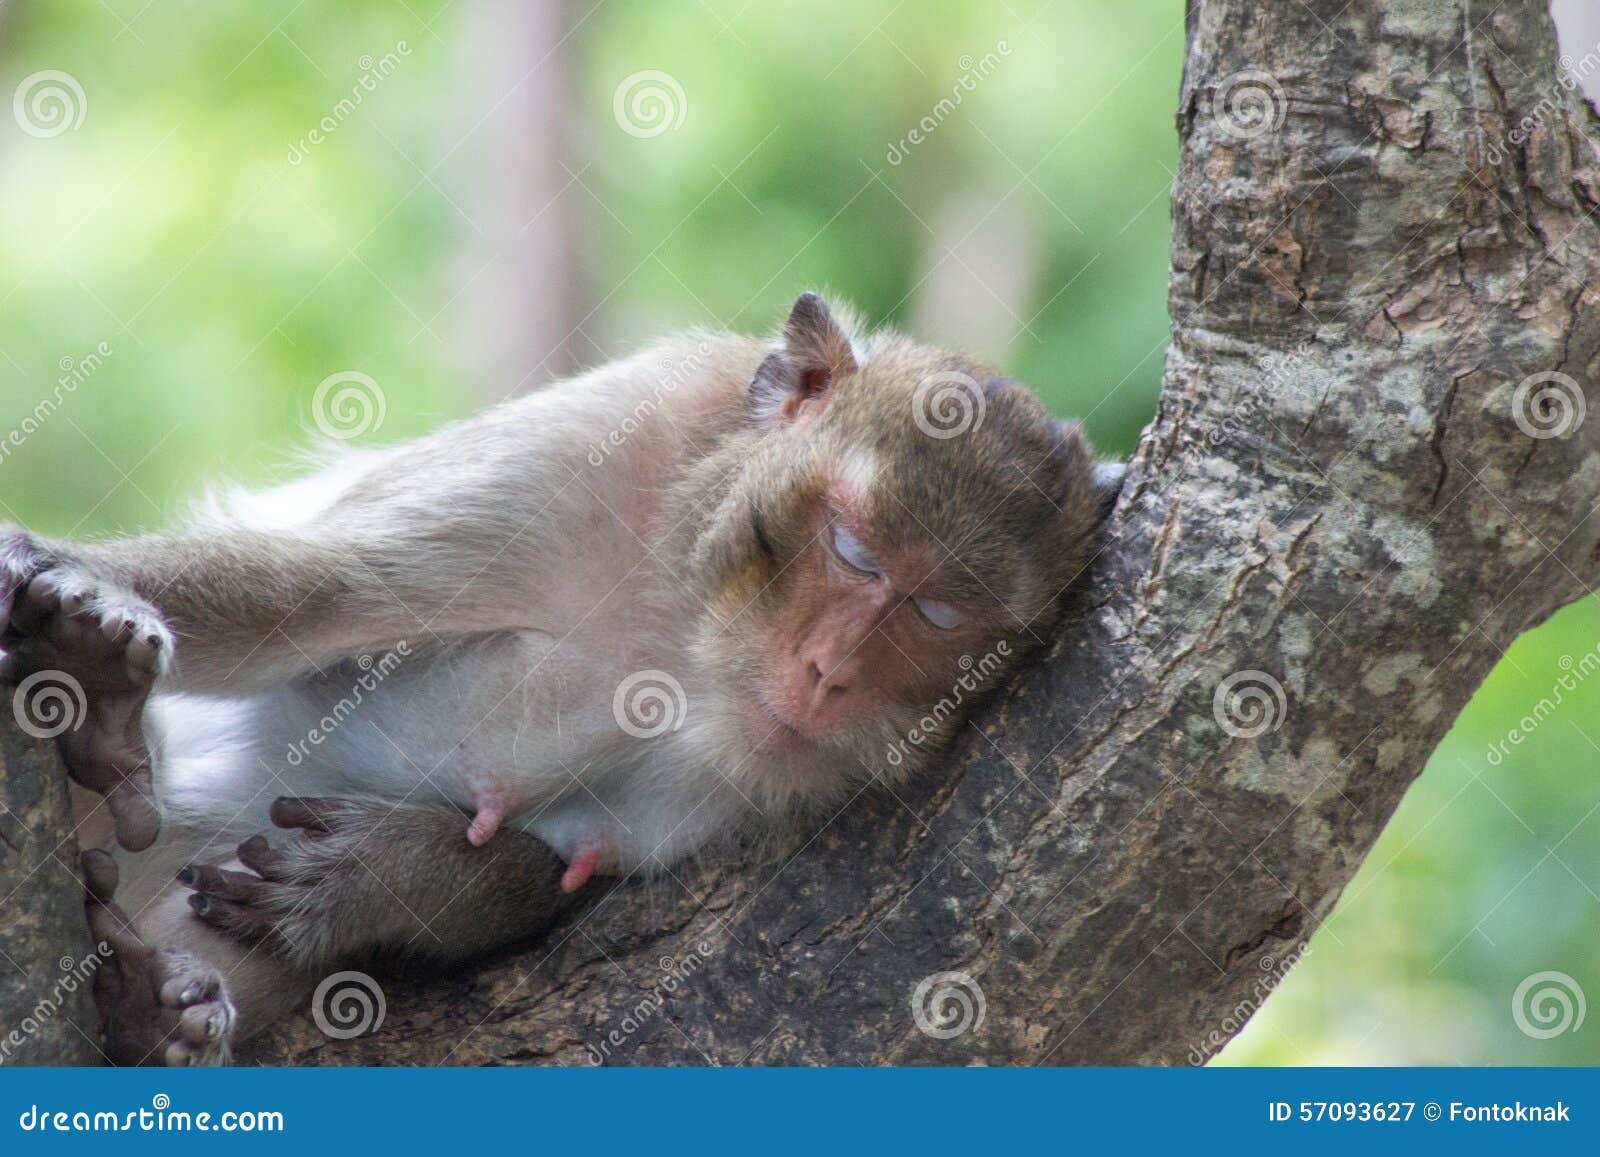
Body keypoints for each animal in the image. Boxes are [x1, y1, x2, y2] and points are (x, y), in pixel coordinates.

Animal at [0, 293, 1123, 1065]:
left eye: (941, 616)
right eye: (853, 549)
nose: (829, 671)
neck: (681, 636)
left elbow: (562, 879)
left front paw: (383, 877)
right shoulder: (594, 445)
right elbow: (303, 594)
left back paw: (148, 1017)